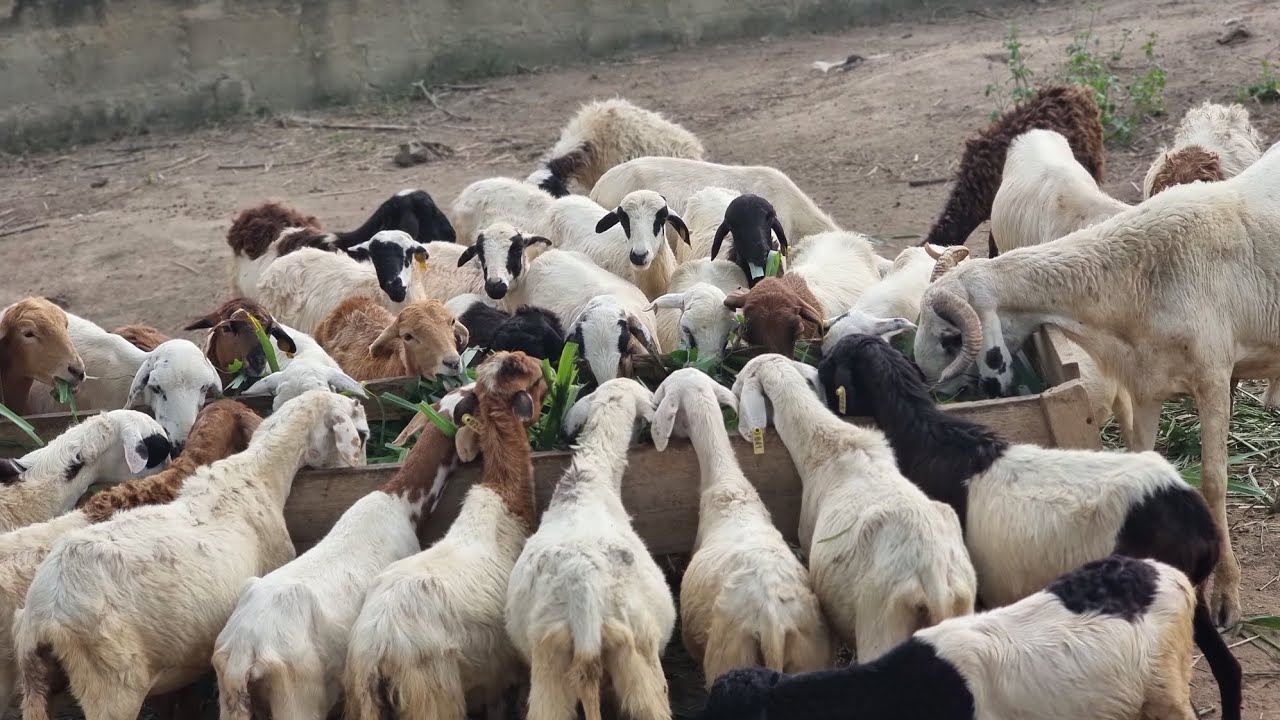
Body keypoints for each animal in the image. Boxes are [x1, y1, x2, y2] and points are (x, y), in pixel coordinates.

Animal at [343, 352, 549, 720]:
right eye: (536, 380)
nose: (552, 379)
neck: (503, 495)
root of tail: (375, 653)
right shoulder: (505, 664)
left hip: (363, 702)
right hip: (433, 695)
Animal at [732, 354, 975, 661]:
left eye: (741, 381)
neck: (828, 443)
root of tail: (935, 580)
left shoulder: (808, 538)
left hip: (881, 627)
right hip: (964, 605)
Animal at [911, 146, 1280, 626]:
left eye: (949, 336)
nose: (926, 381)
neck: (1134, 277)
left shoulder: (1214, 376)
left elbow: (1215, 483)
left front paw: (1226, 594)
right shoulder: (1146, 385)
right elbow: (1145, 457)